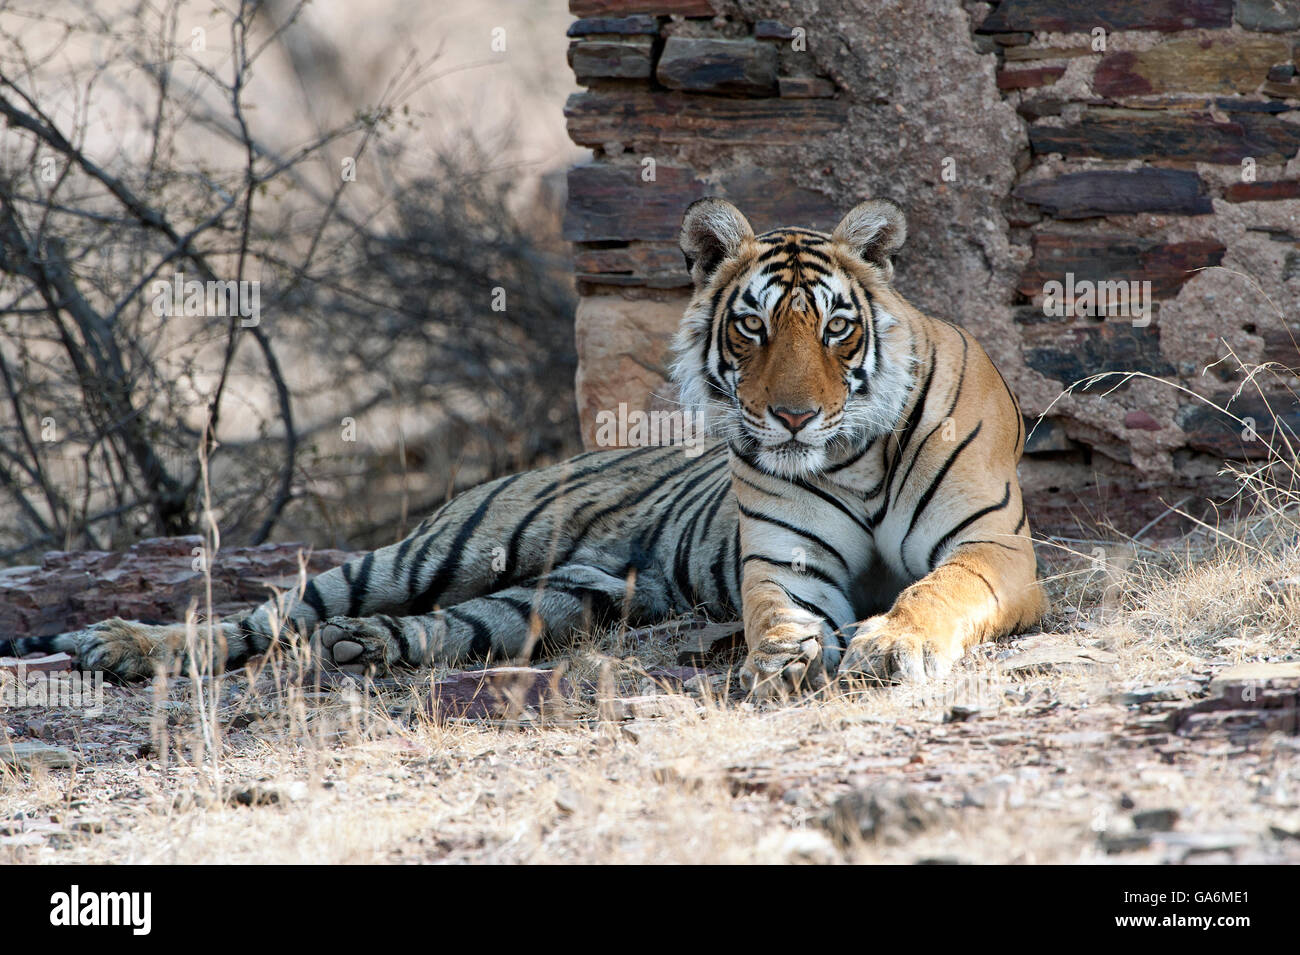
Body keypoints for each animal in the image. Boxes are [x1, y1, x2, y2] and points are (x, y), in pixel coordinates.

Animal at [1, 198, 1046, 697]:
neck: (853, 457)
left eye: (835, 328)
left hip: (562, 598)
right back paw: (126, 644)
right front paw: (788, 661)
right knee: (269, 612)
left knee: (440, 628)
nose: (790, 418)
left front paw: (889, 645)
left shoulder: (993, 550)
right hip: (438, 548)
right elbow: (779, 615)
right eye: (752, 327)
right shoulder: (786, 565)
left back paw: (365, 648)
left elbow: (933, 590)